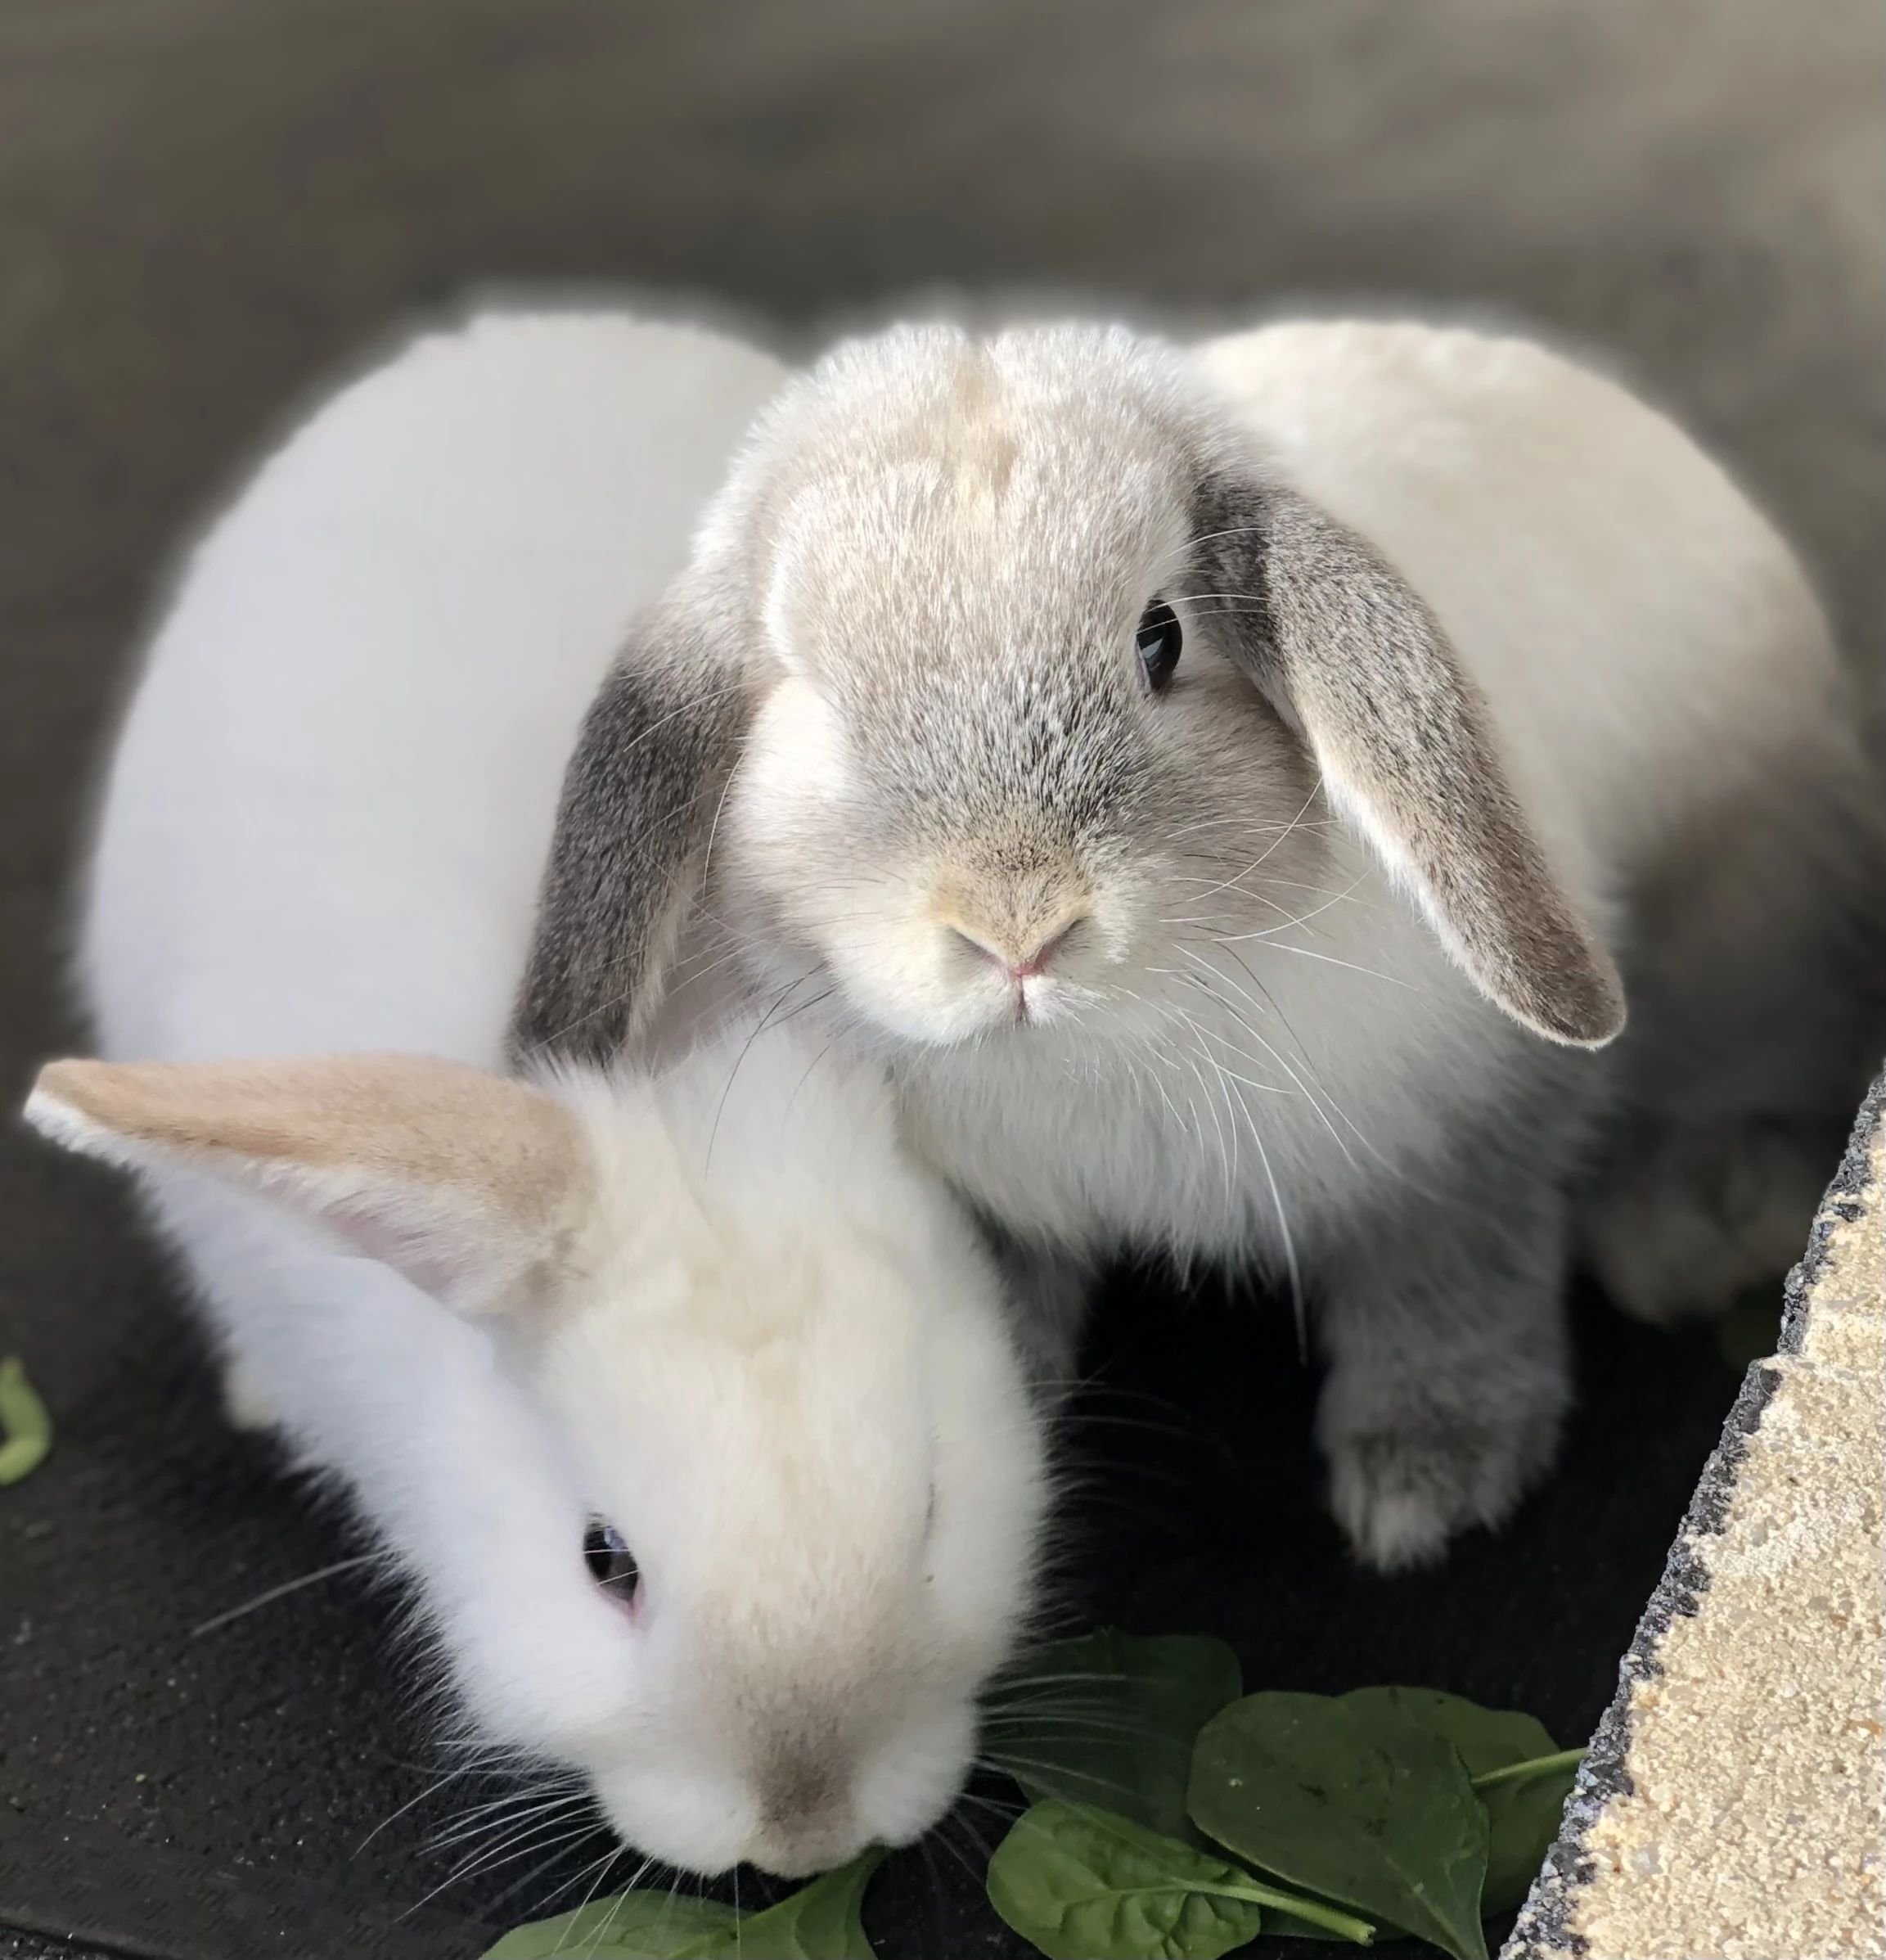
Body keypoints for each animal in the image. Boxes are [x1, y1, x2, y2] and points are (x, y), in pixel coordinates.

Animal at [514, 314, 1886, 1571]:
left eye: (1159, 636)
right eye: (809, 694)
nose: (1018, 924)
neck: (1091, 1047)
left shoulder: (1474, 1132)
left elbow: (1449, 1271)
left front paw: (1426, 1478)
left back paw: (1690, 1222)